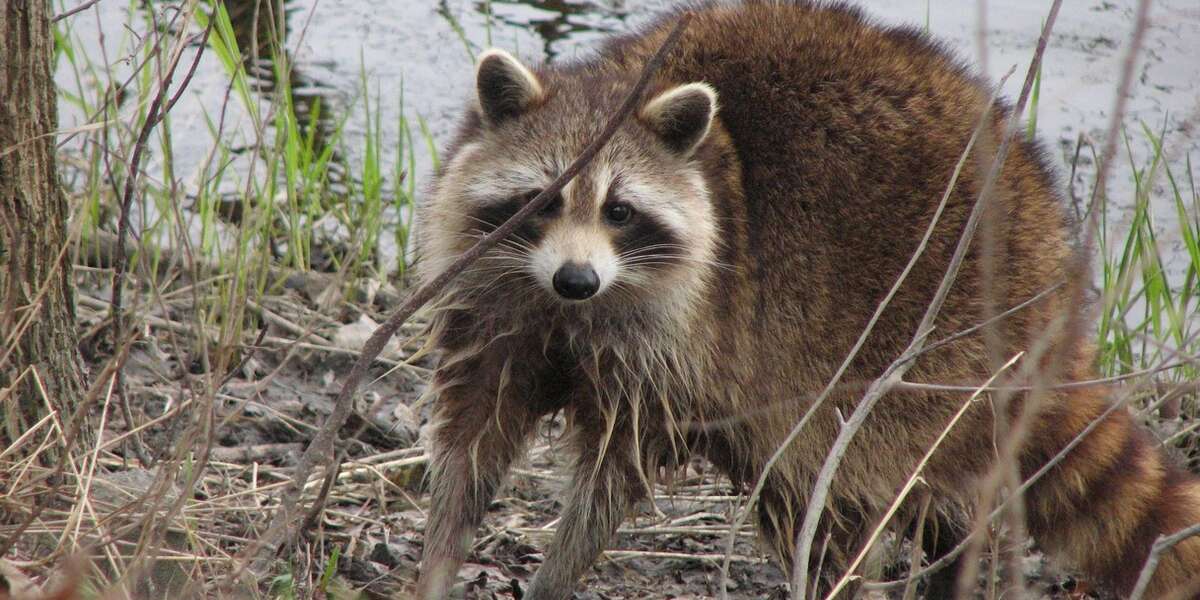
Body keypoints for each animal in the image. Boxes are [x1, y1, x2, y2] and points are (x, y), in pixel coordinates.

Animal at [411, 2, 1200, 598]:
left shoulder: (678, 342)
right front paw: (441, 556)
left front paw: (557, 571)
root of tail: (1053, 291)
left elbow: (614, 472)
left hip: (920, 354)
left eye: (620, 211)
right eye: (544, 200)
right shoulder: (497, 306)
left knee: (823, 491)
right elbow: (473, 434)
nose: (578, 279)